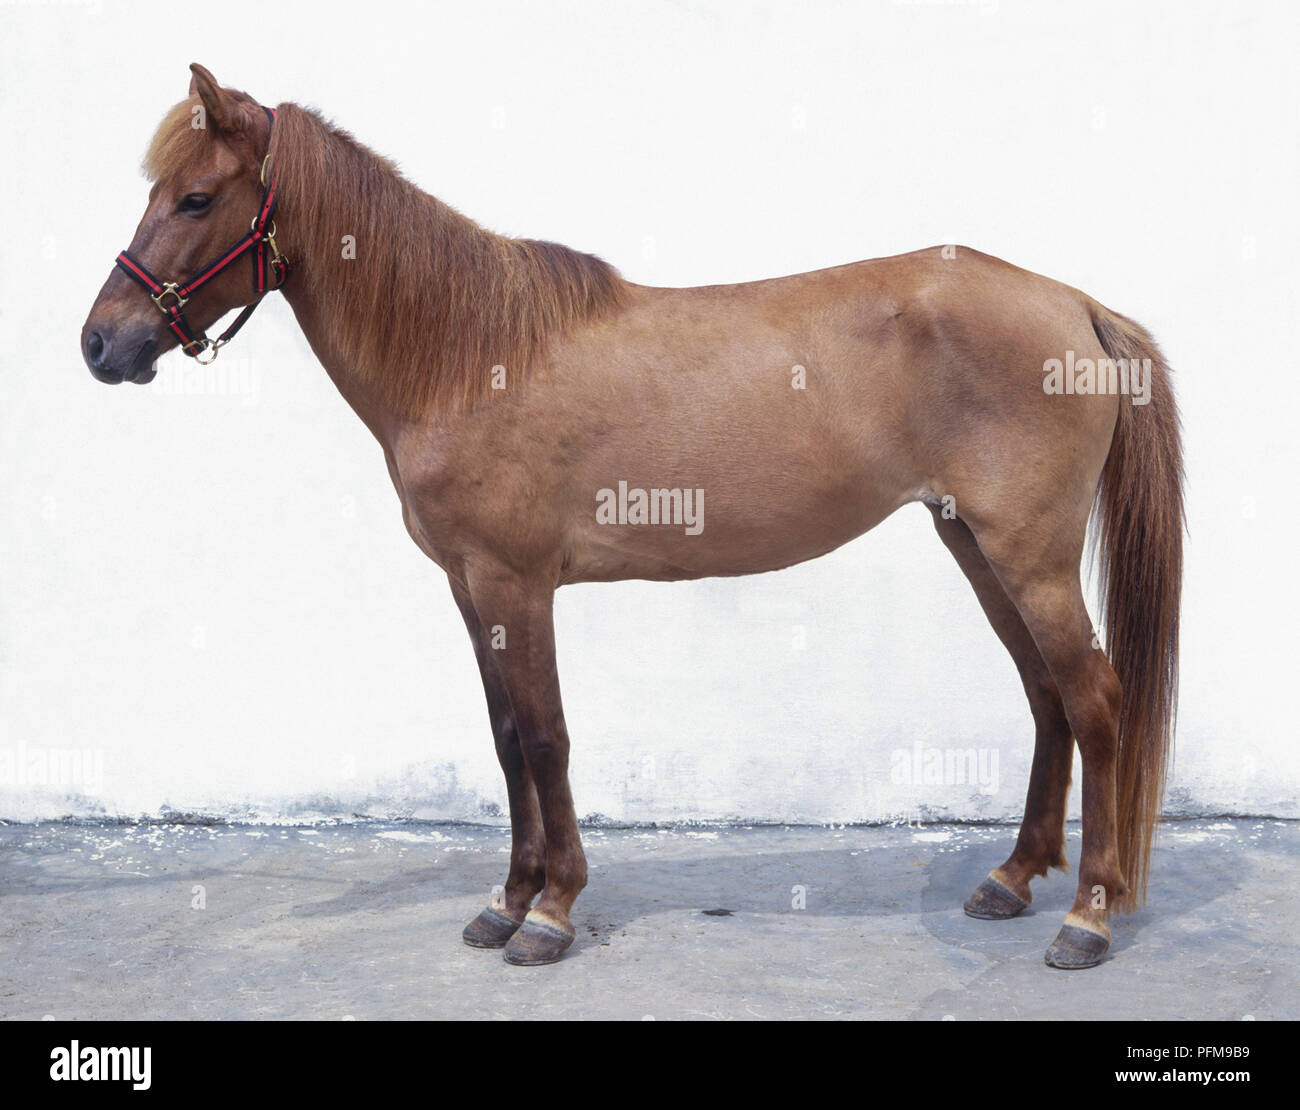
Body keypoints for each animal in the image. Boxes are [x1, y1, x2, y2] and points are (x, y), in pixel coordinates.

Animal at [82, 64, 1183, 969]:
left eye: (195, 196)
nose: (100, 343)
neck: (468, 355)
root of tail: (1078, 306)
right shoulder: (470, 589)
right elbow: (503, 739)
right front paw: (503, 902)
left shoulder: (516, 584)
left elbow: (544, 738)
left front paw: (549, 913)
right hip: (975, 544)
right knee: (1047, 696)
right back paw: (1010, 881)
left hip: (1027, 555)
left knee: (1095, 701)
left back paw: (1086, 917)